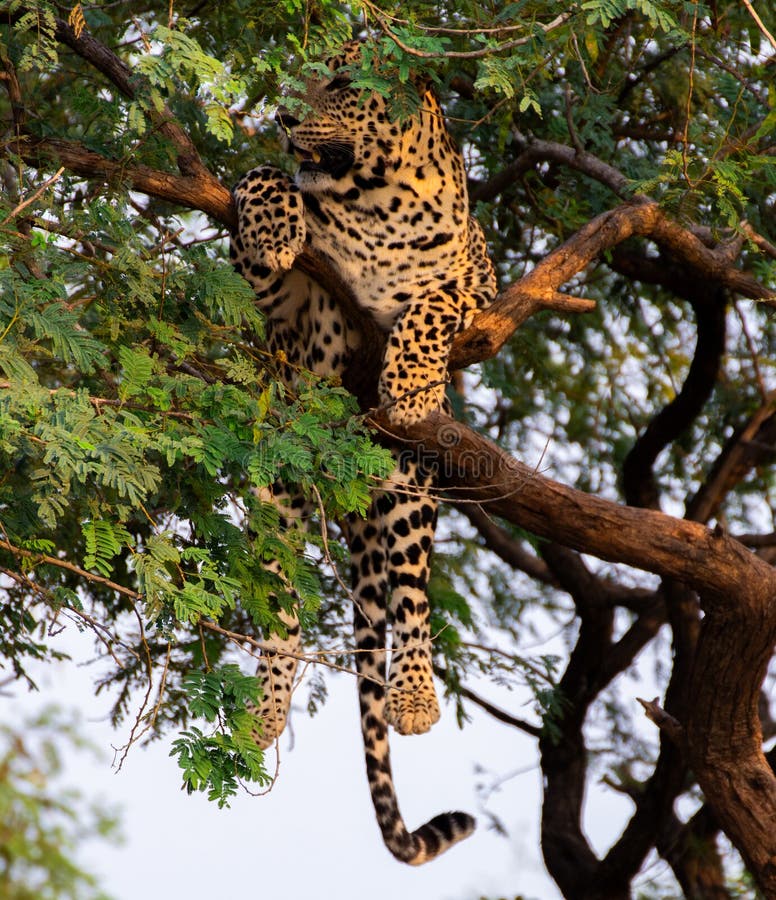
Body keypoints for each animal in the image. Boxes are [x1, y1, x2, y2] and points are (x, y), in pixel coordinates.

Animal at [230, 42, 496, 865]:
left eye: (343, 84)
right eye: (301, 72)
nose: (284, 114)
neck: (377, 204)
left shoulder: (480, 282)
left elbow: (433, 301)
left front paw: (410, 380)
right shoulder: (281, 304)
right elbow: (258, 178)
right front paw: (273, 219)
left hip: (408, 486)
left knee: (409, 595)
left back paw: (413, 695)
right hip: (278, 504)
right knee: (280, 612)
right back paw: (261, 714)